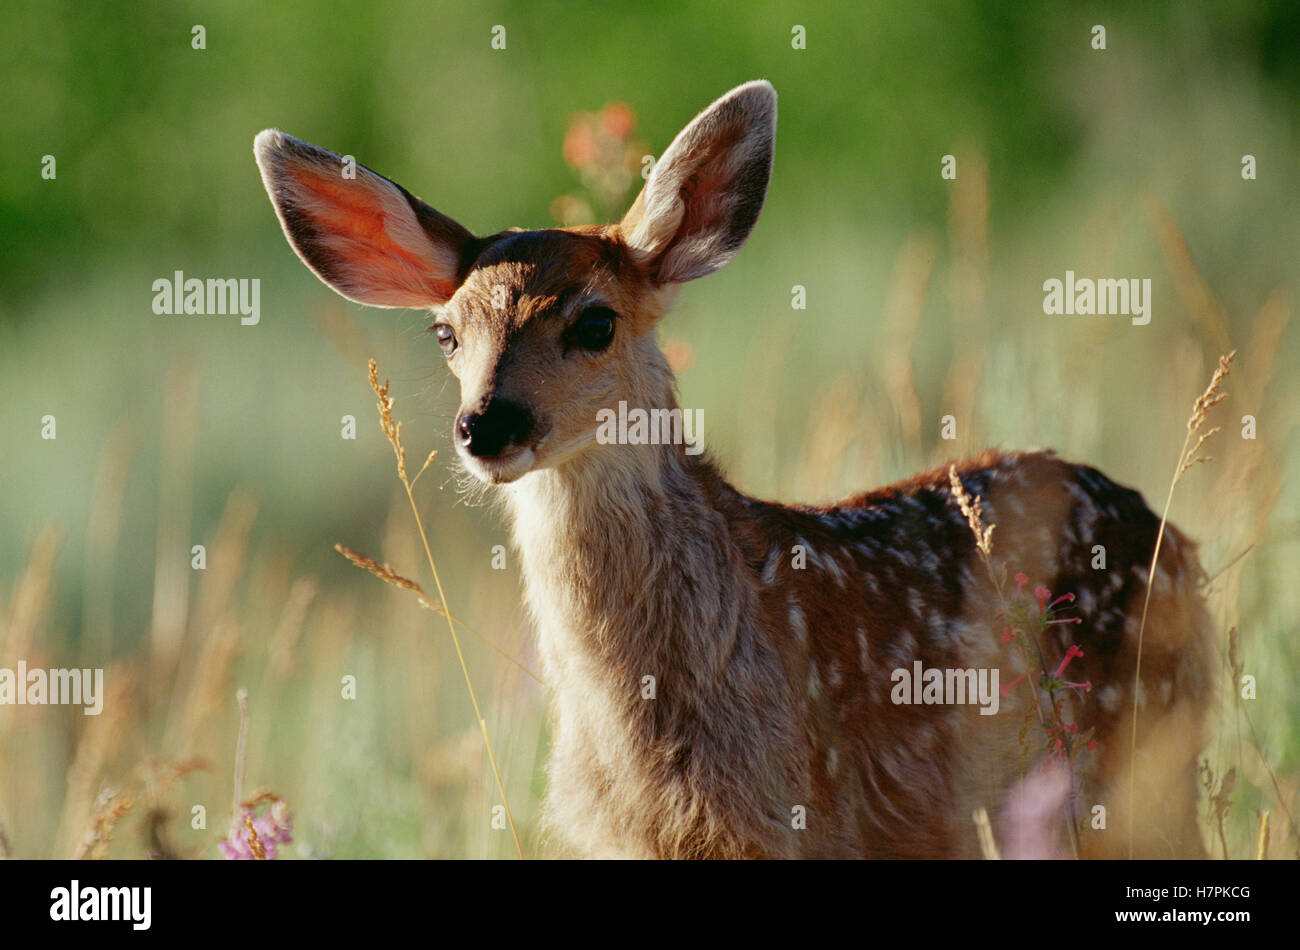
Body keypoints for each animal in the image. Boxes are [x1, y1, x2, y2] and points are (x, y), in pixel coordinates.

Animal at [254, 80, 1211, 859]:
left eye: (595, 322)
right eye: (446, 334)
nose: (487, 425)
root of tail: (1176, 539)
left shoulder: (802, 816)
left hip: (1143, 759)